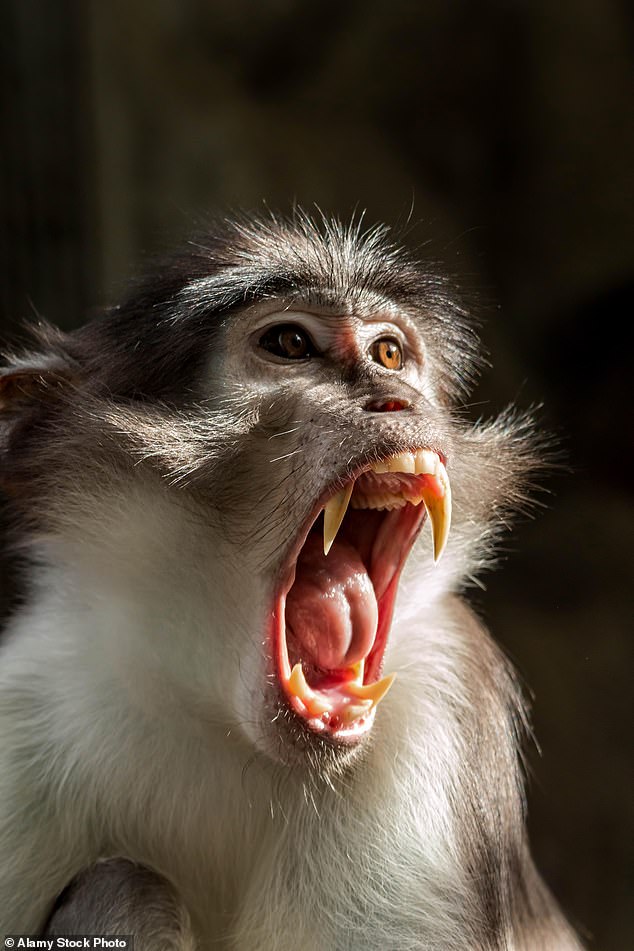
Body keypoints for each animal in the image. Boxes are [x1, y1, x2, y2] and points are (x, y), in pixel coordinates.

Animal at [0, 212, 583, 949]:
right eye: (290, 343)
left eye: (390, 353)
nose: (397, 398)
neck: (212, 715)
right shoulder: (25, 712)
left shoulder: (440, 712)